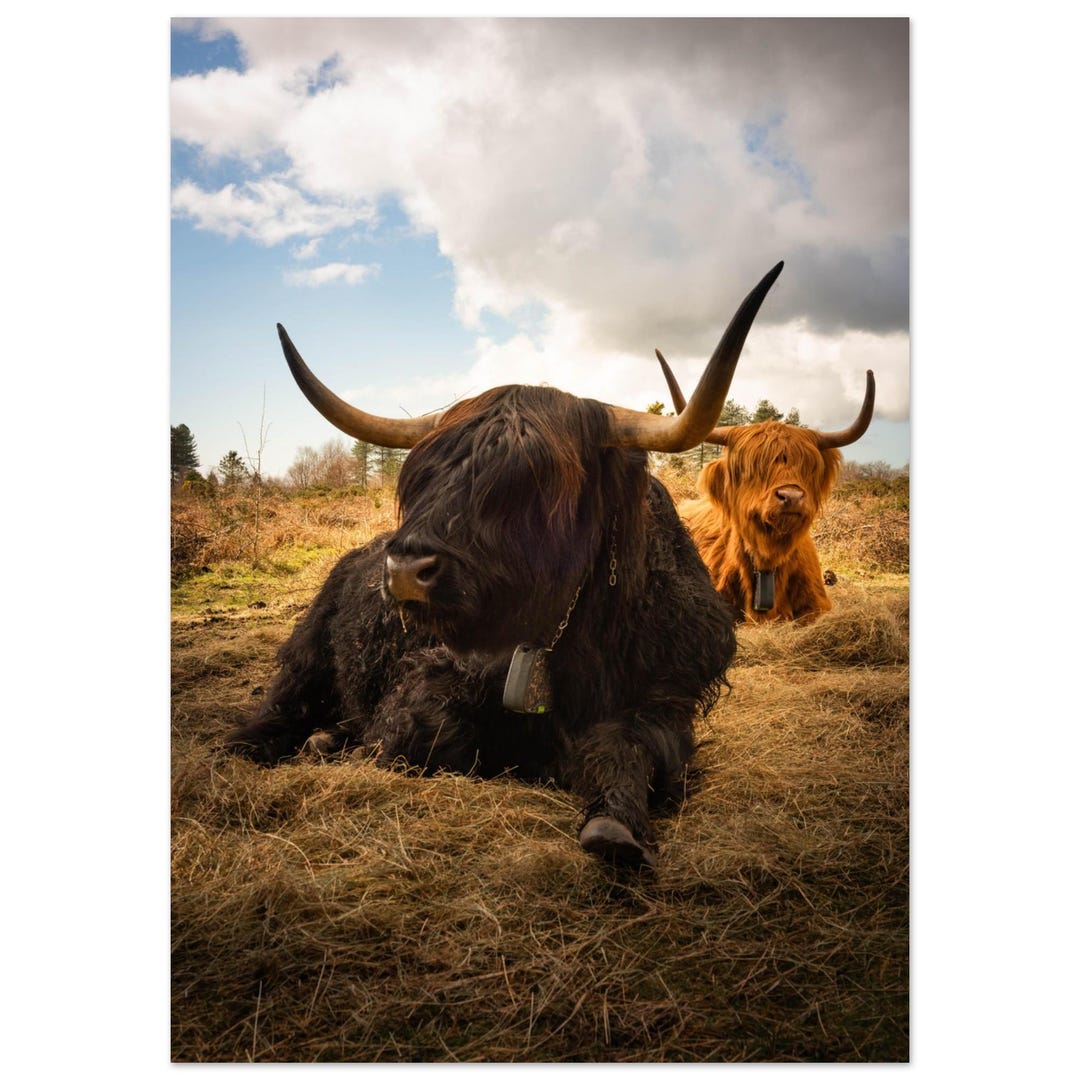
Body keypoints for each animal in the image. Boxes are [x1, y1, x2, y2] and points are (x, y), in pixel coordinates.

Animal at [223, 263, 784, 871]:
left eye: (531, 480)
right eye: (421, 474)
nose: (405, 568)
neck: (571, 636)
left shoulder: (666, 701)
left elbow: (627, 751)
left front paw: (612, 828)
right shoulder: (431, 680)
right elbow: (413, 736)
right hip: (306, 656)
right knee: (280, 707)